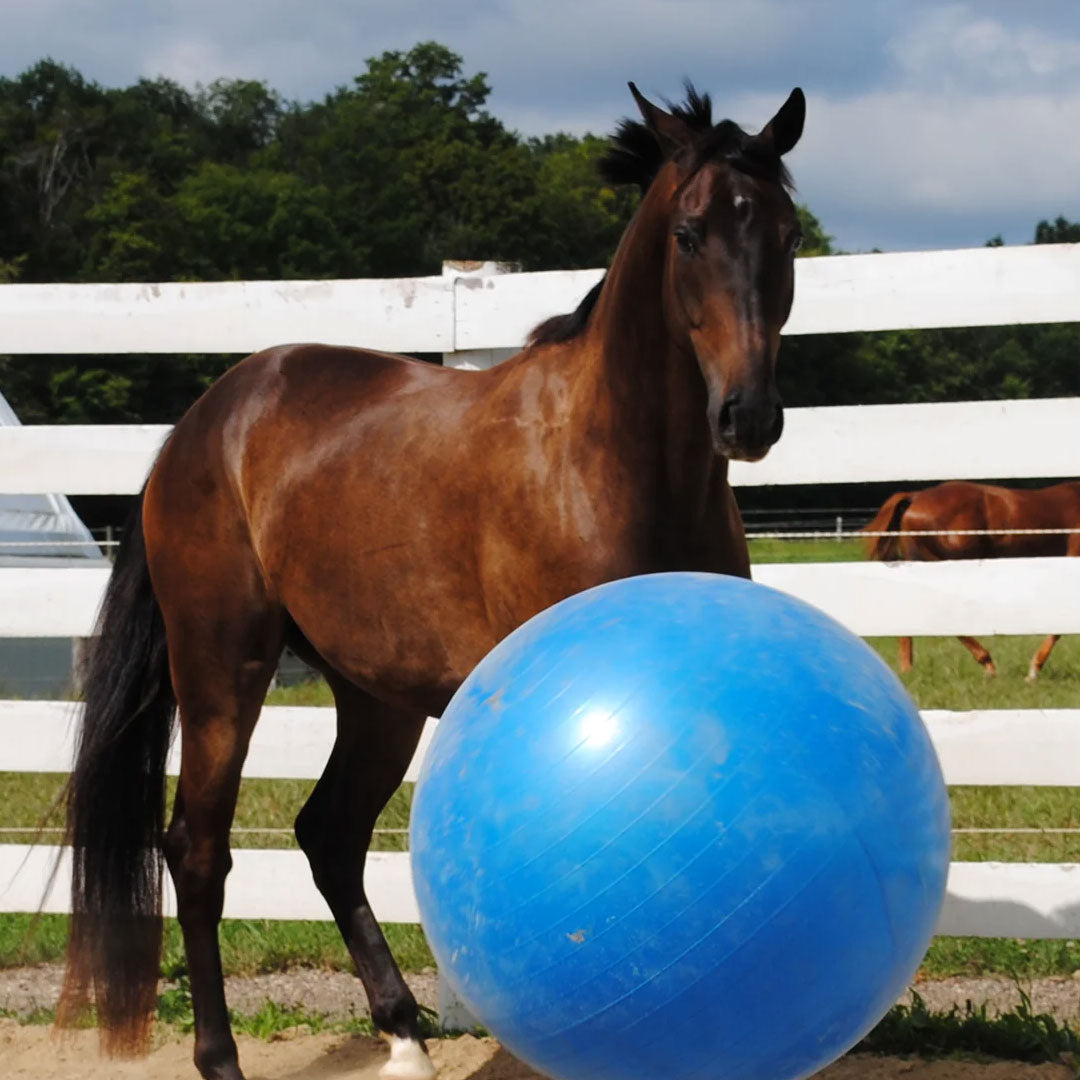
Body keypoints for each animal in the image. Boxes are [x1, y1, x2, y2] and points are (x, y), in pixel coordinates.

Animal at [56, 81, 806, 1080]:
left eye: (788, 235)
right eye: (688, 234)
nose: (747, 416)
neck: (611, 461)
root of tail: (202, 424)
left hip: (376, 697)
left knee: (328, 836)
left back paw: (404, 1033)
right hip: (222, 672)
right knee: (197, 849)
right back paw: (221, 1056)